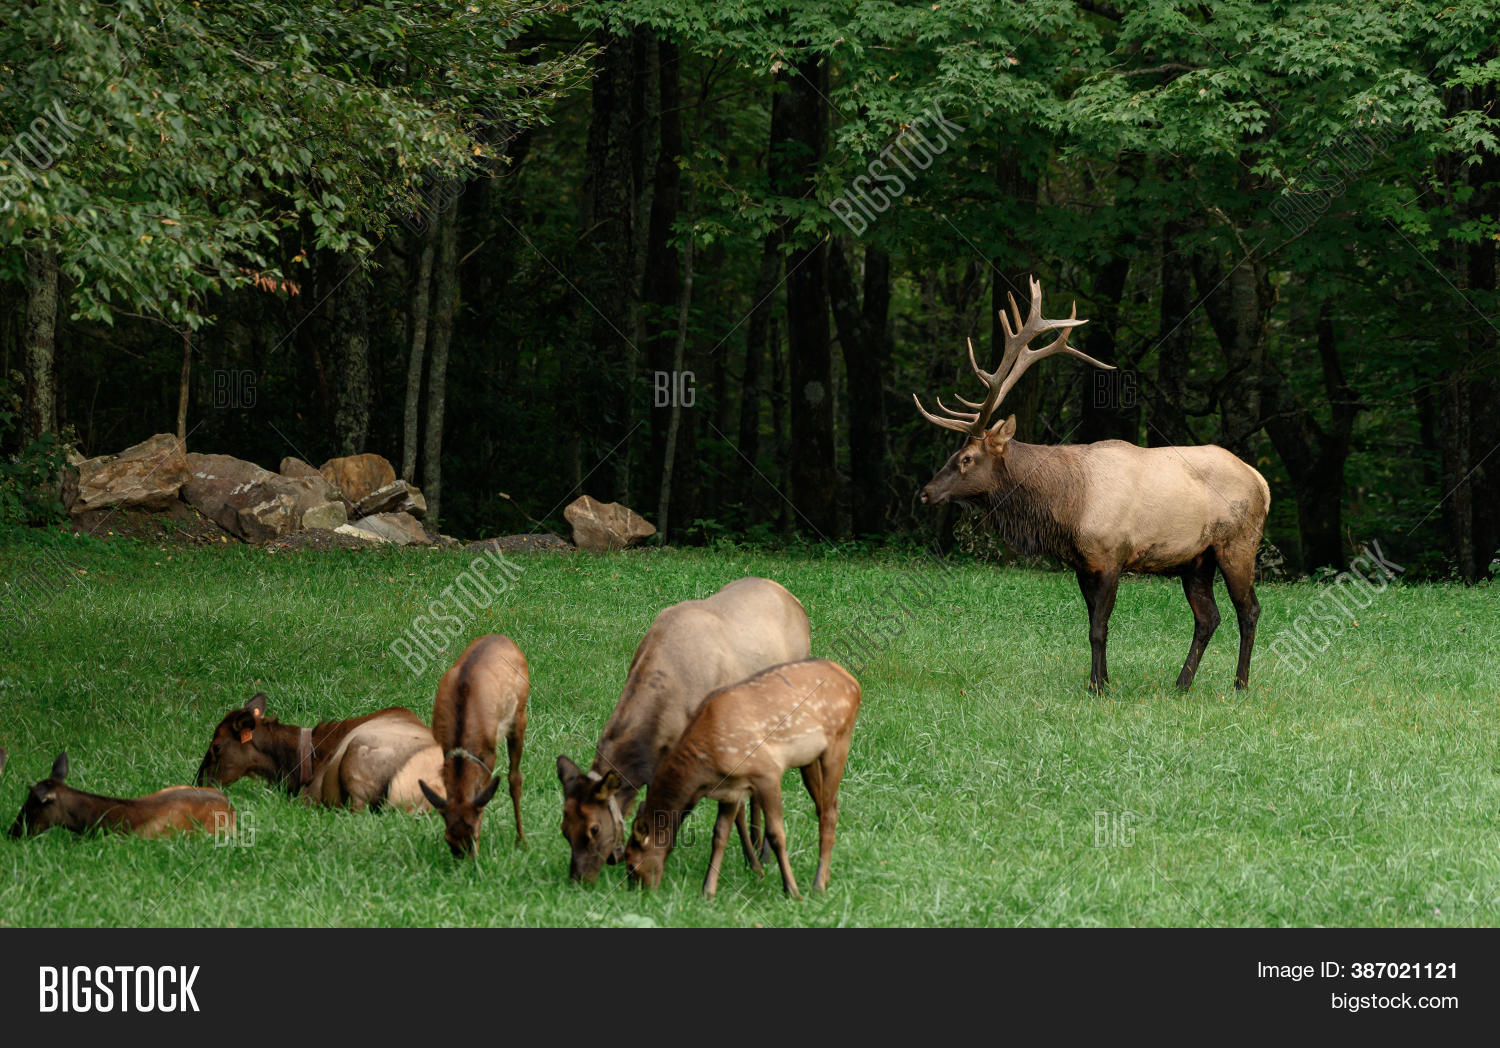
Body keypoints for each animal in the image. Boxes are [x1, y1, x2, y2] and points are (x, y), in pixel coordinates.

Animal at [419, 634, 530, 858]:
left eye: (474, 836)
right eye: (448, 839)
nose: (467, 862)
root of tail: (504, 638)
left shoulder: (488, 753)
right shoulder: (443, 749)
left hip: (519, 715)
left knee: (515, 778)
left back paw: (521, 841)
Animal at [556, 576, 811, 883]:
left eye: (593, 829)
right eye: (564, 828)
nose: (577, 879)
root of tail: (796, 602)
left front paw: (754, 865)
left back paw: (762, 853)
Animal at [624, 658, 861, 899]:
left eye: (630, 864)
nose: (640, 895)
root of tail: (853, 682)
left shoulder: (767, 773)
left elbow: (776, 834)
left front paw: (792, 891)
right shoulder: (730, 790)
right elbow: (719, 835)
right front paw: (708, 892)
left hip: (839, 742)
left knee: (828, 813)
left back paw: (818, 884)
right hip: (809, 760)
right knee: (829, 805)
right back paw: (826, 878)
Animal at [913, 275, 1270, 692]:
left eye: (967, 458)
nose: (927, 492)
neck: (1067, 505)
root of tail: (1262, 482)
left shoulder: (1111, 554)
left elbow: (1098, 628)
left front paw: (1097, 687)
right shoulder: (1082, 564)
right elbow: (1095, 627)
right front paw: (1103, 680)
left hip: (1238, 544)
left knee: (1249, 610)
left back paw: (1240, 683)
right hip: (1197, 559)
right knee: (1208, 617)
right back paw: (1182, 683)